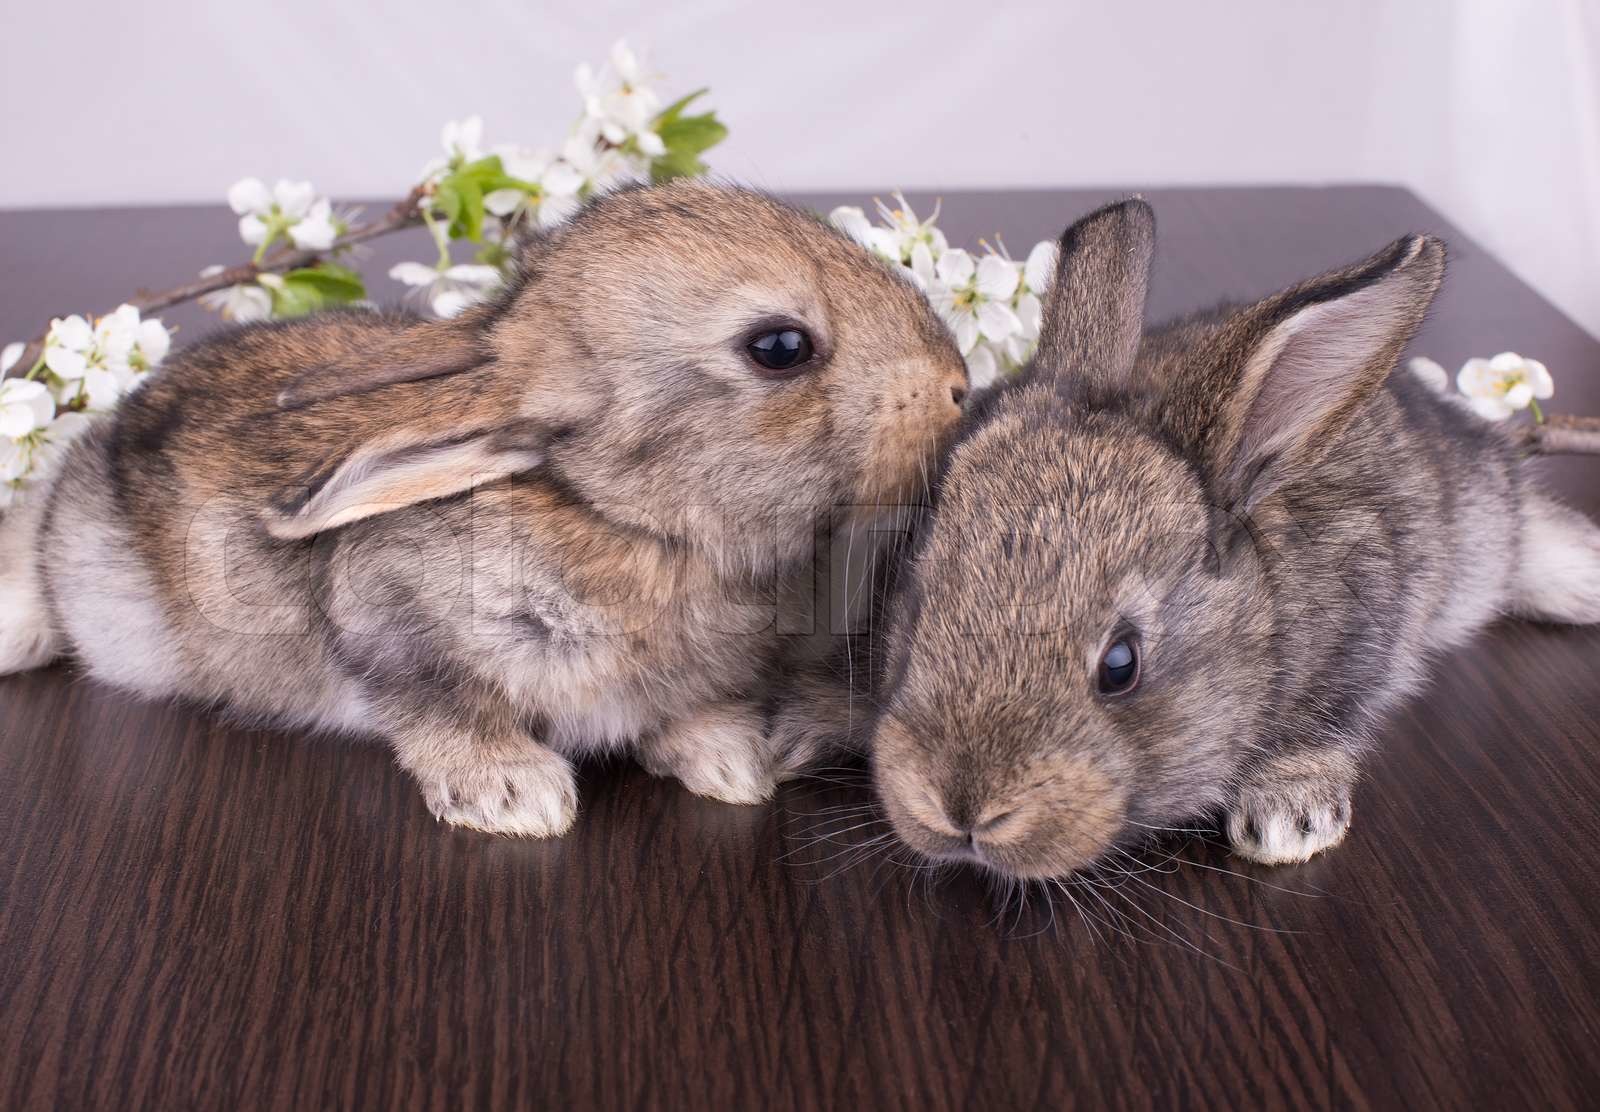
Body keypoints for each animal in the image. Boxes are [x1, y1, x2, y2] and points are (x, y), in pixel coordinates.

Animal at [0, 180, 969, 836]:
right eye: (779, 347)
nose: (957, 386)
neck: (615, 513)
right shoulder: (396, 626)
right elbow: (442, 708)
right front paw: (518, 797)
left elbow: (692, 715)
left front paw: (735, 763)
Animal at [869, 197, 1600, 879]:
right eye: (918, 607)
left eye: (1120, 665)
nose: (961, 810)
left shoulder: (1370, 616)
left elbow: (1322, 726)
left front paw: (1288, 823)